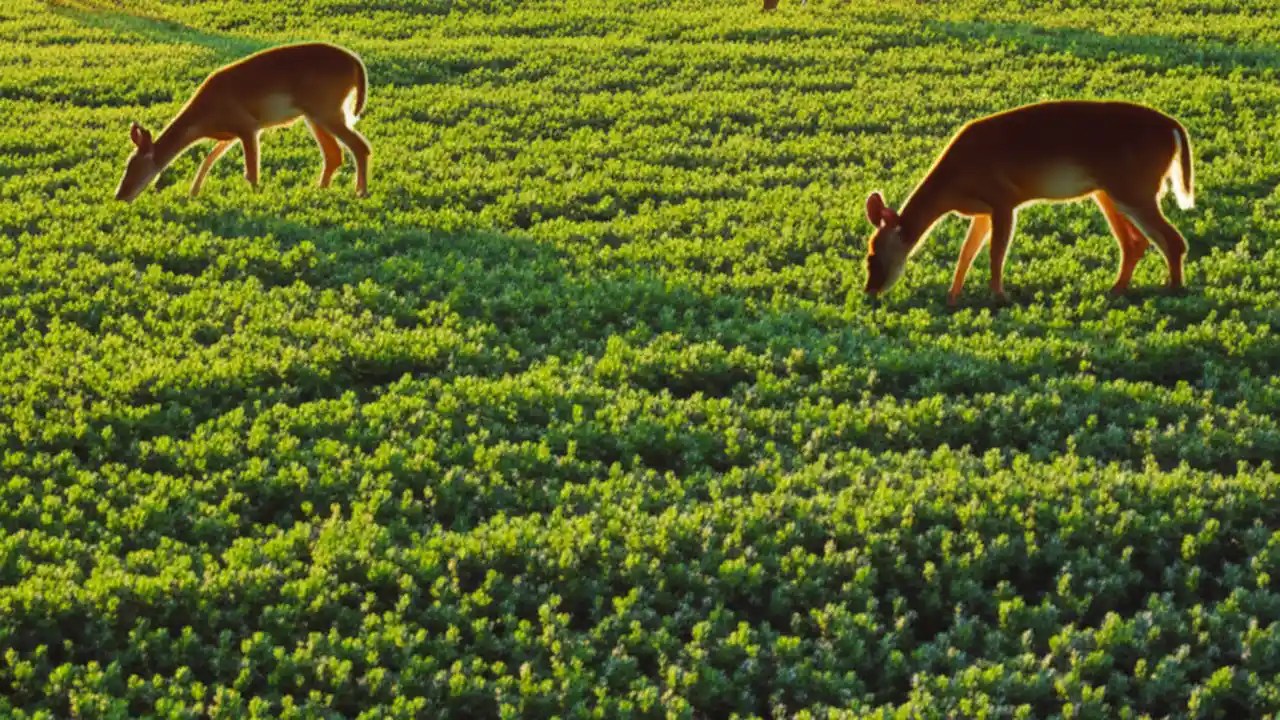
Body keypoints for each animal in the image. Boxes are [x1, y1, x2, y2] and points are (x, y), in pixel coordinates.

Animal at [115, 42, 371, 202]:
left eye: (134, 167)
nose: (120, 196)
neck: (203, 119)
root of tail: (356, 63)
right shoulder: (231, 133)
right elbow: (208, 160)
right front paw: (193, 193)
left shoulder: (248, 126)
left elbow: (251, 172)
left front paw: (255, 199)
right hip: (314, 114)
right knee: (334, 154)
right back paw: (320, 190)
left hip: (327, 109)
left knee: (360, 147)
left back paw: (360, 193)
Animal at [861, 100, 1195, 305]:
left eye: (871, 257)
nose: (869, 290)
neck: (953, 187)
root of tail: (1174, 127)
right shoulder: (983, 210)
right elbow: (967, 252)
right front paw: (952, 297)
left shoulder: (1003, 200)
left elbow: (995, 254)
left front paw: (999, 298)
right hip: (1109, 192)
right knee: (1136, 242)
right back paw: (1118, 289)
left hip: (1133, 188)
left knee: (1171, 240)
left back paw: (1173, 290)